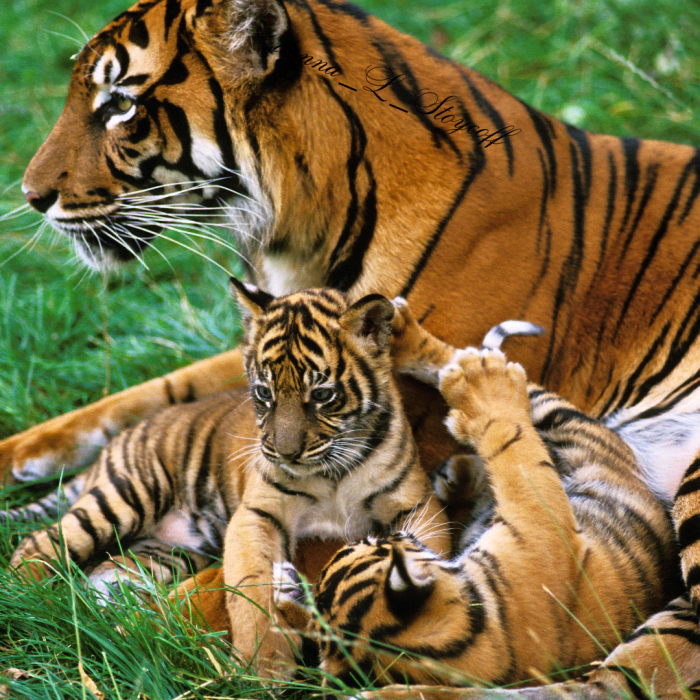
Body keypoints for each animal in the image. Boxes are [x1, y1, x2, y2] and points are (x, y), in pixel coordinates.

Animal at [7, 279, 450, 677]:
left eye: (323, 395)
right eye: (264, 393)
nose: (286, 453)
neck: (333, 470)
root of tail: (118, 440)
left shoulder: (417, 505)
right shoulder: (258, 513)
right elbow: (251, 590)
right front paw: (263, 667)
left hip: (165, 552)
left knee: (99, 579)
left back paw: (108, 624)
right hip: (127, 495)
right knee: (38, 544)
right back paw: (30, 602)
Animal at [272, 298, 682, 696]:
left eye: (369, 542)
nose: (392, 533)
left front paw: (286, 589)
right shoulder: (542, 524)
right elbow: (512, 448)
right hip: (566, 422)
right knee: (510, 398)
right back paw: (474, 373)